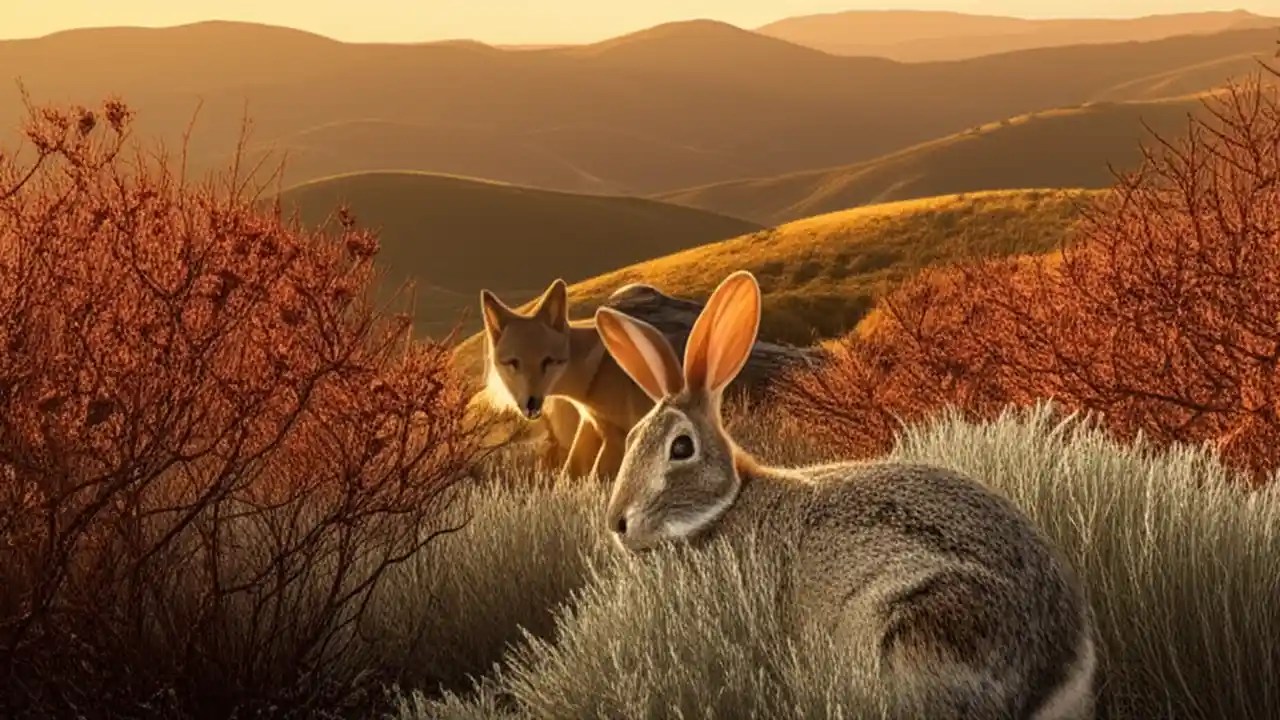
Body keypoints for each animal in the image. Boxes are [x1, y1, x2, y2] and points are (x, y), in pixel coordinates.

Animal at [592, 270, 1097, 720]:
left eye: (681, 448)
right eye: (632, 436)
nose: (618, 523)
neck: (727, 503)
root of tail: (1059, 670)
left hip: (926, 630)